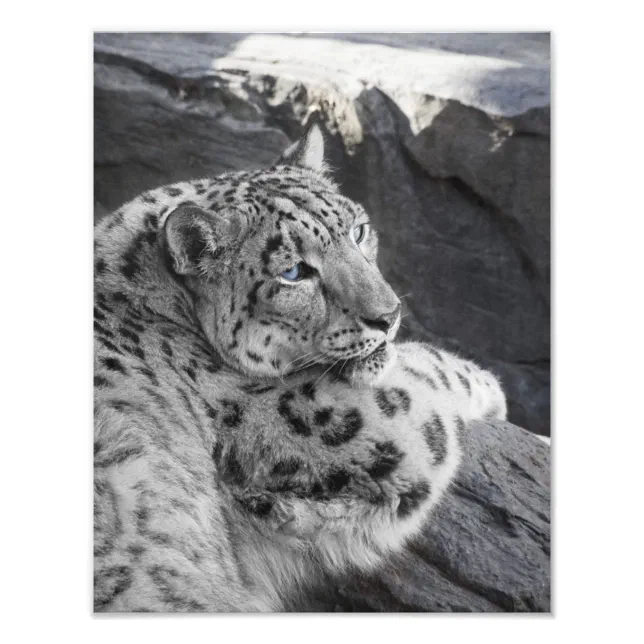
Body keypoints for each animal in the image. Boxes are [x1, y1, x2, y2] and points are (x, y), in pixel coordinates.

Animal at [93, 122, 507, 612]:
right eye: (293, 272)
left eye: (358, 230)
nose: (388, 315)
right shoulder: (354, 416)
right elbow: (424, 373)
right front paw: (489, 386)